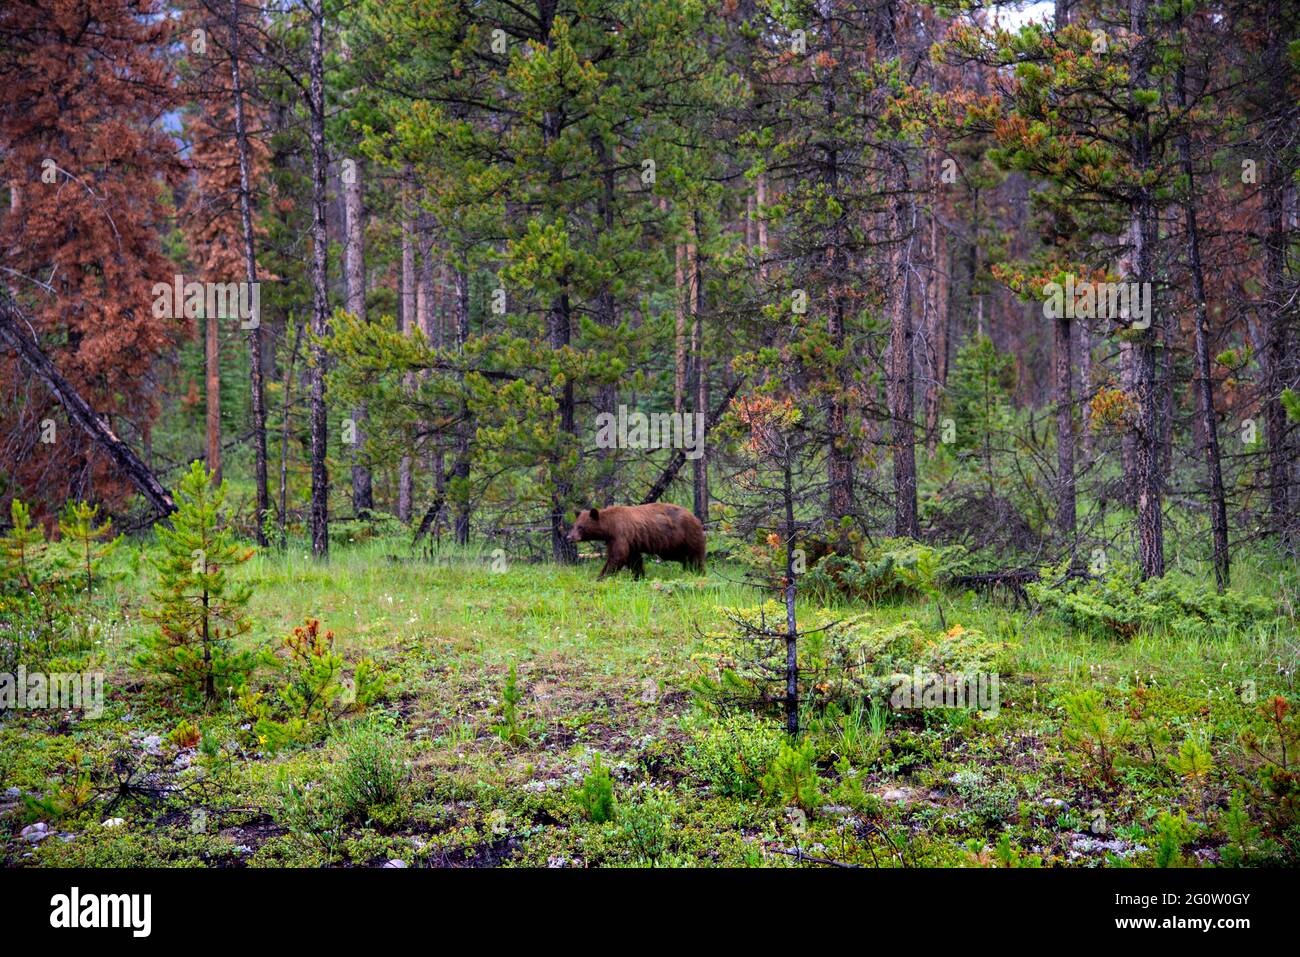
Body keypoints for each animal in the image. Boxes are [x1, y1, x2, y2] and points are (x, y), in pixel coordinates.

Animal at [565, 503, 706, 579]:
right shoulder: (628, 541)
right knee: (686, 558)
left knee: (695, 557)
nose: (569, 537)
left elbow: (618, 556)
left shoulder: (620, 534)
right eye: (574, 525)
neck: (609, 526)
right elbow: (633, 560)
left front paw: (602, 576)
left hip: (688, 536)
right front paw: (638, 577)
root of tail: (696, 518)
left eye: (581, 527)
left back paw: (698, 573)